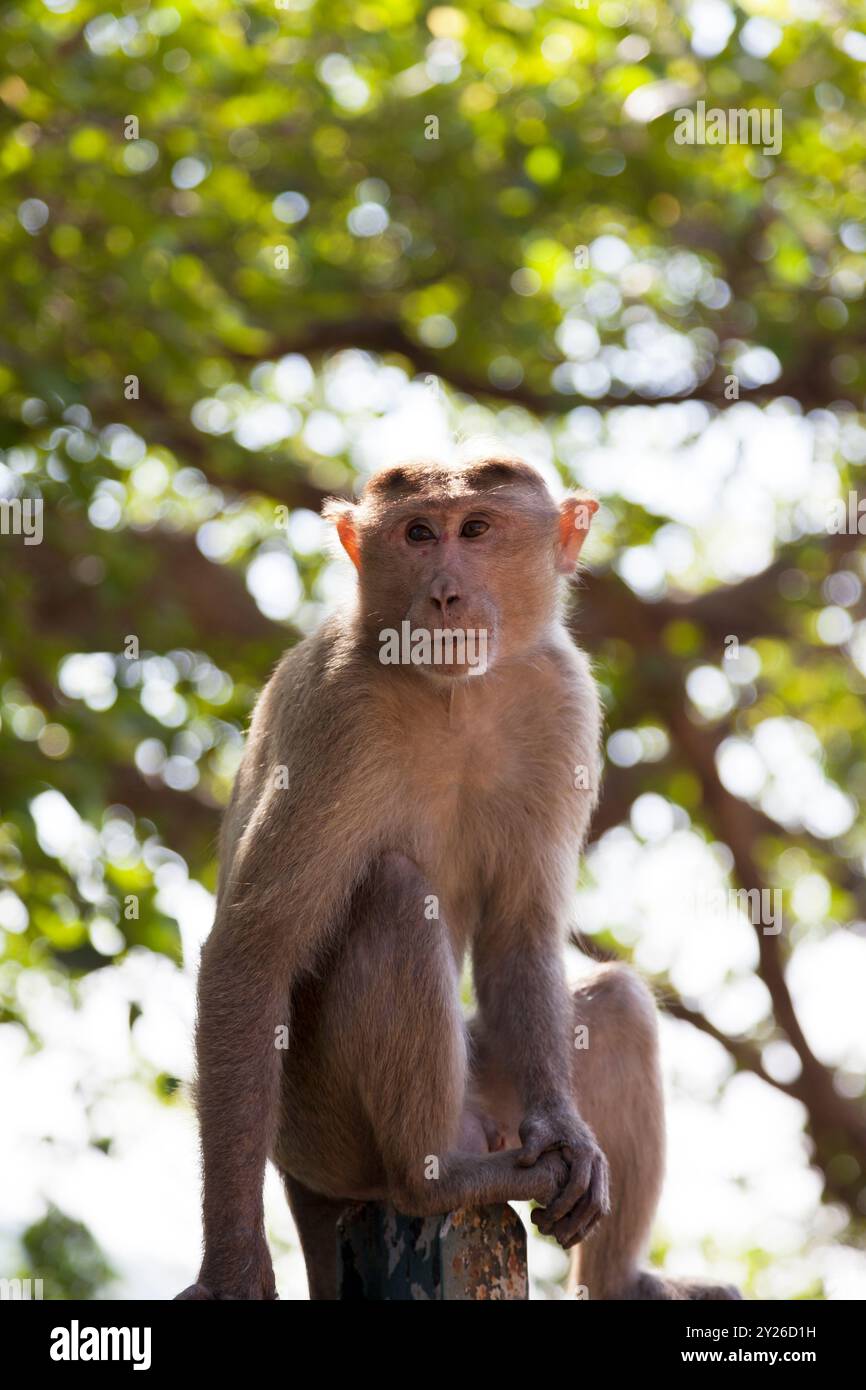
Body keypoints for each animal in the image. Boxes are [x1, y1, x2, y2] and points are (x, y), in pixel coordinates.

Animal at [175, 450, 740, 1302]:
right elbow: (256, 949)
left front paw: (567, 1131)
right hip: (322, 1130)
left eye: (475, 529)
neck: (457, 694)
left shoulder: (562, 696)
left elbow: (520, 932)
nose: (444, 592)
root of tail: (298, 1179)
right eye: (417, 533)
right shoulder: (339, 711)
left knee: (616, 1003)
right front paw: (233, 1263)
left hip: (486, 1099)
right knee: (393, 895)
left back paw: (618, 1279)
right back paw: (432, 1180)